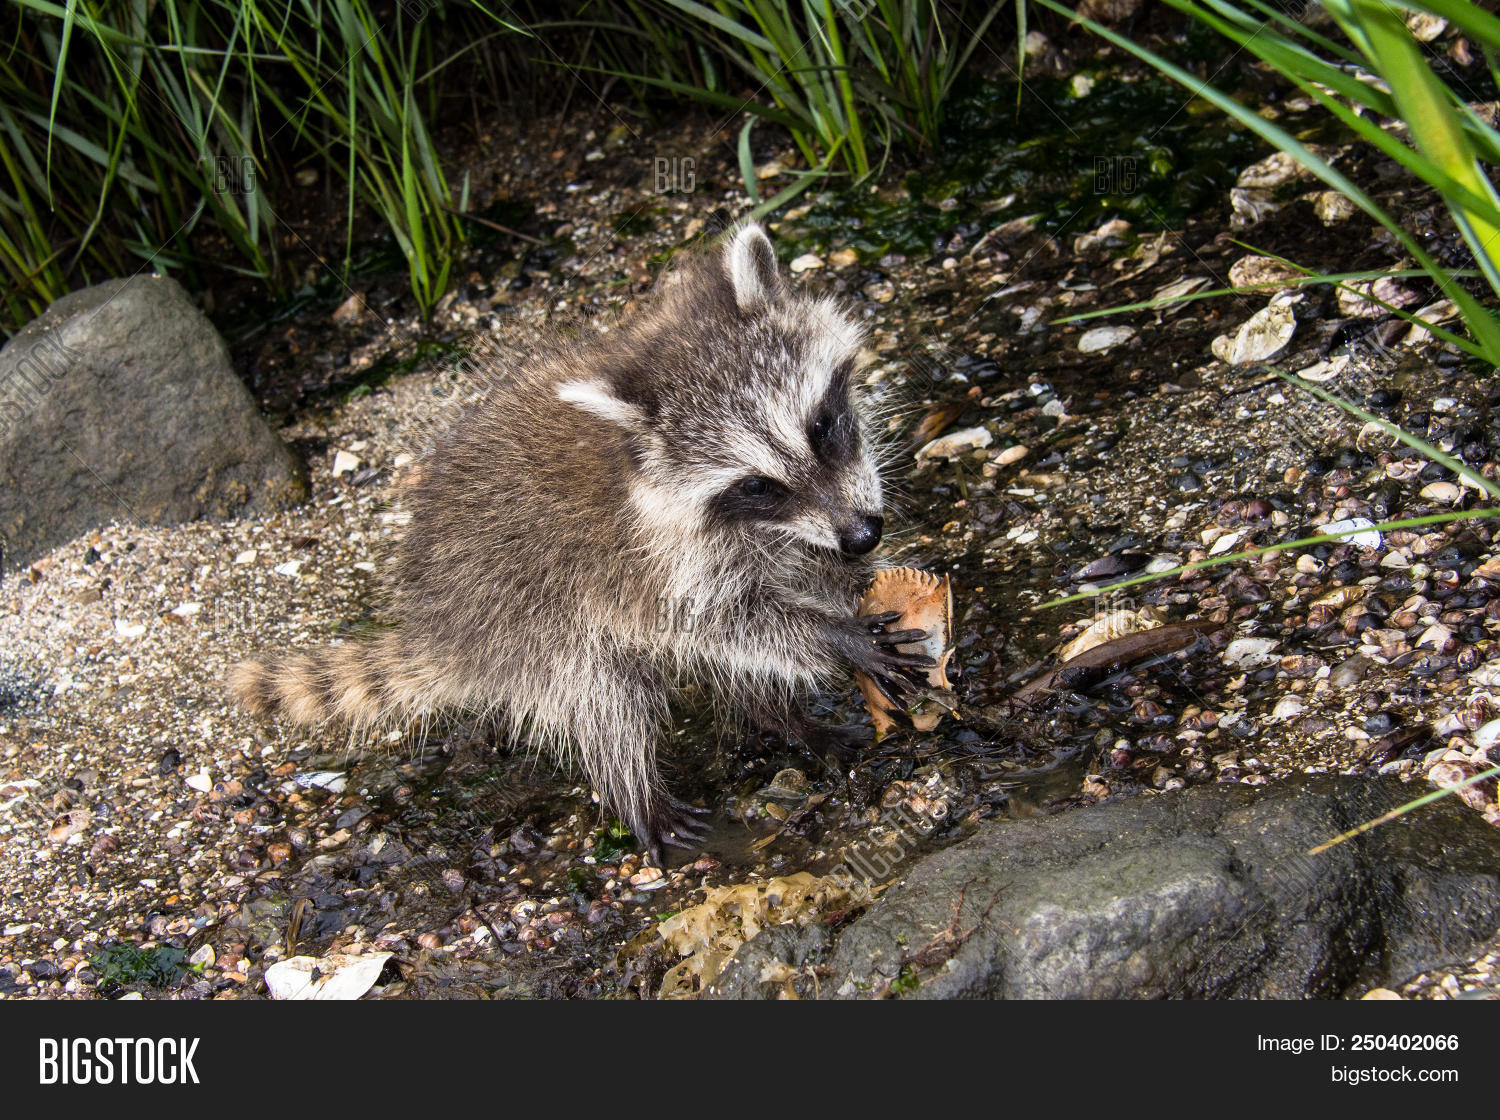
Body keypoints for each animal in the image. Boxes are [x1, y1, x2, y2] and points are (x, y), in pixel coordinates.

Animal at [230, 222, 934, 858]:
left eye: (822, 426)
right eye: (758, 485)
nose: (864, 535)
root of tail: (440, 627)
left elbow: (800, 583)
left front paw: (854, 587)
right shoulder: (651, 567)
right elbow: (726, 622)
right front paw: (836, 636)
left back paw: (779, 718)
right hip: (532, 624)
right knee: (602, 693)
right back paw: (637, 792)